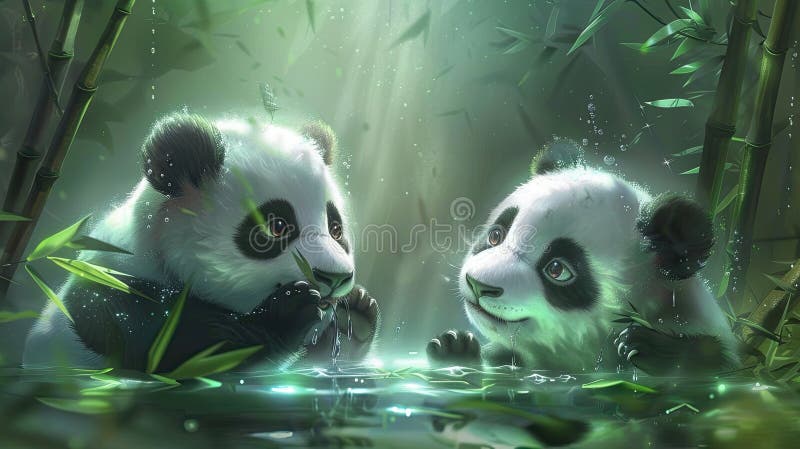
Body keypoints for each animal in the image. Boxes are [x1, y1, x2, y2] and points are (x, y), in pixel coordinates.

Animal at [23, 112, 379, 371]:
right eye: (276, 227)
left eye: (336, 229)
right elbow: (190, 348)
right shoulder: (112, 296)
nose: (335, 277)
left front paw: (357, 311)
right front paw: (292, 310)